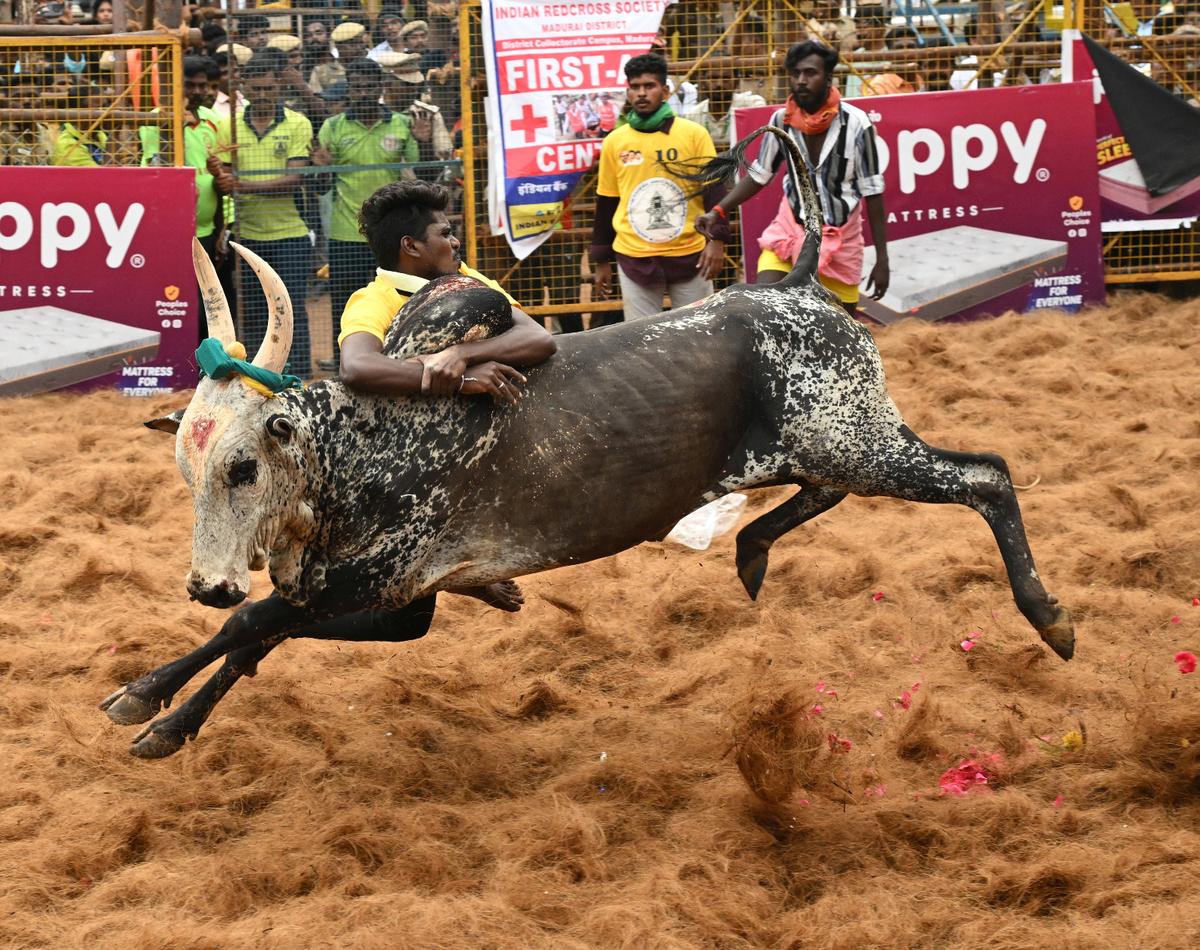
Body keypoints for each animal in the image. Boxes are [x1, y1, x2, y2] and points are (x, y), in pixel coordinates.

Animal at [101, 126, 1075, 759]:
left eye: (242, 466)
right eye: (187, 469)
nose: (205, 583)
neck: (357, 447)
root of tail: (793, 289)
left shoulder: (376, 580)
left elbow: (255, 625)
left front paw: (148, 706)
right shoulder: (394, 601)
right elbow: (255, 637)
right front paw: (157, 710)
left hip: (860, 440)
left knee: (988, 475)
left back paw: (1051, 619)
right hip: (833, 447)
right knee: (832, 494)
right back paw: (752, 551)